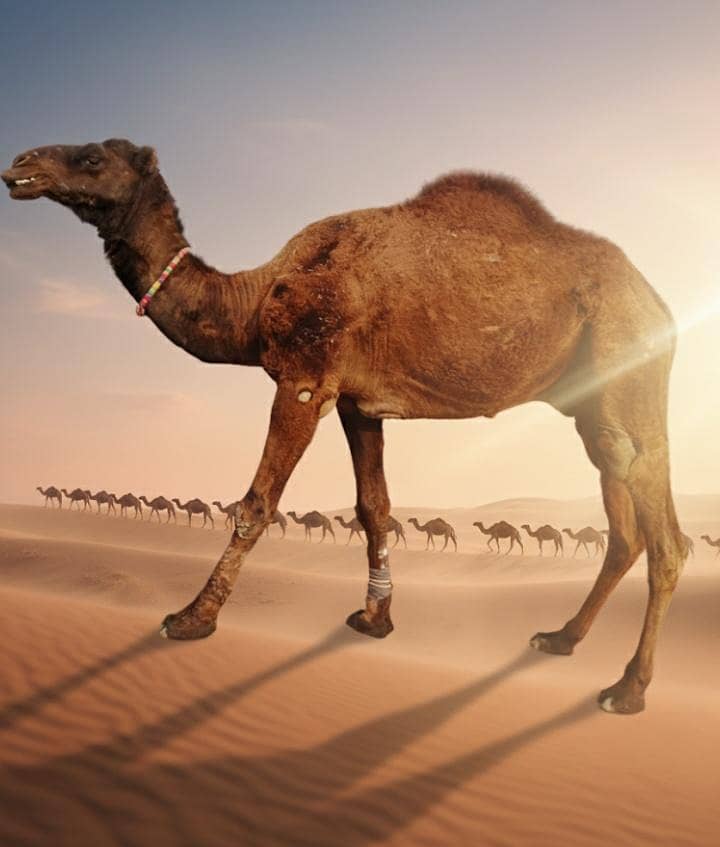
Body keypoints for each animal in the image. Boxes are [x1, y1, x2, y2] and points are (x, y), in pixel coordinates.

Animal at [2, 138, 685, 715]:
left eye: (93, 157)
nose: (19, 165)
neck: (256, 297)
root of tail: (661, 304)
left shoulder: (305, 379)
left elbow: (256, 503)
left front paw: (192, 618)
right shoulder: (358, 403)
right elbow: (373, 507)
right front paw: (374, 618)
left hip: (628, 365)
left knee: (665, 533)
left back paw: (627, 688)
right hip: (590, 407)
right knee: (624, 525)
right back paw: (562, 637)